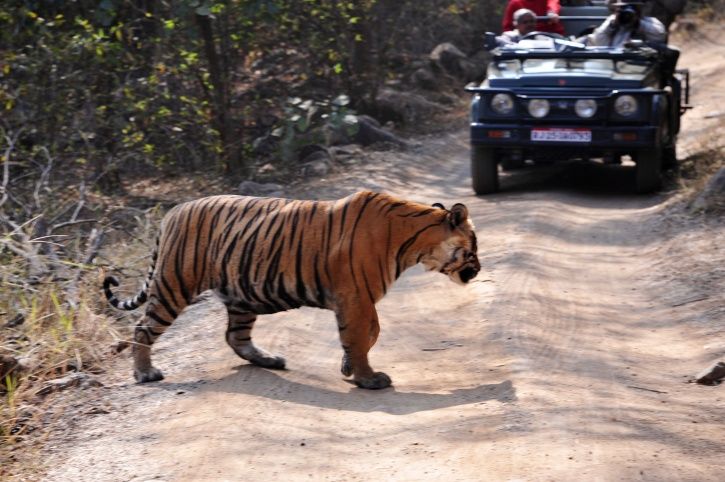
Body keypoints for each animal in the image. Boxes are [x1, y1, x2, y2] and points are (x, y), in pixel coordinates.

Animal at [103, 190, 480, 389]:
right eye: (474, 246)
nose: (478, 270)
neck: (415, 242)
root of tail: (173, 212)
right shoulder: (357, 297)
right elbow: (363, 335)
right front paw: (367, 378)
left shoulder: (358, 300)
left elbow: (365, 335)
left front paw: (349, 368)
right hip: (174, 283)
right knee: (142, 329)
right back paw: (145, 373)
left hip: (241, 294)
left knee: (235, 336)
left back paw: (269, 359)